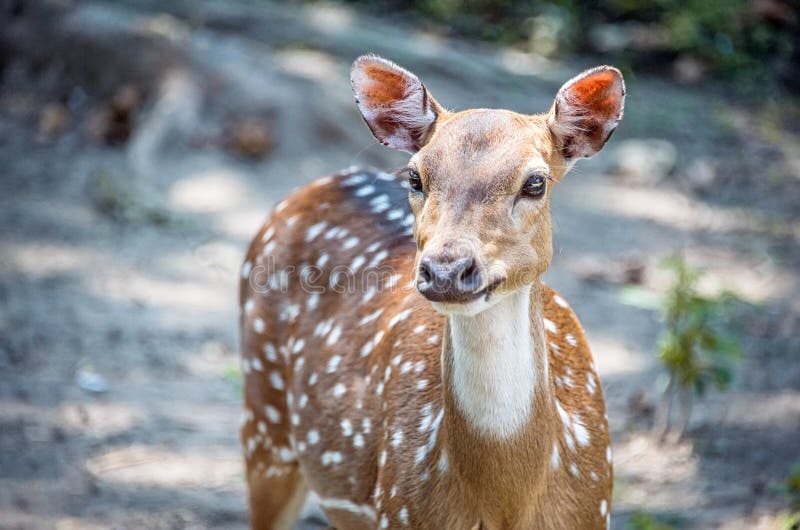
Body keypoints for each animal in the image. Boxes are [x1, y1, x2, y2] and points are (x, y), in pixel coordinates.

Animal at [239, 54, 625, 529]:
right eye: (415, 176)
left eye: (536, 182)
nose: (447, 270)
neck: (508, 503)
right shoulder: (399, 509)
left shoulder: (596, 508)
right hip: (264, 413)